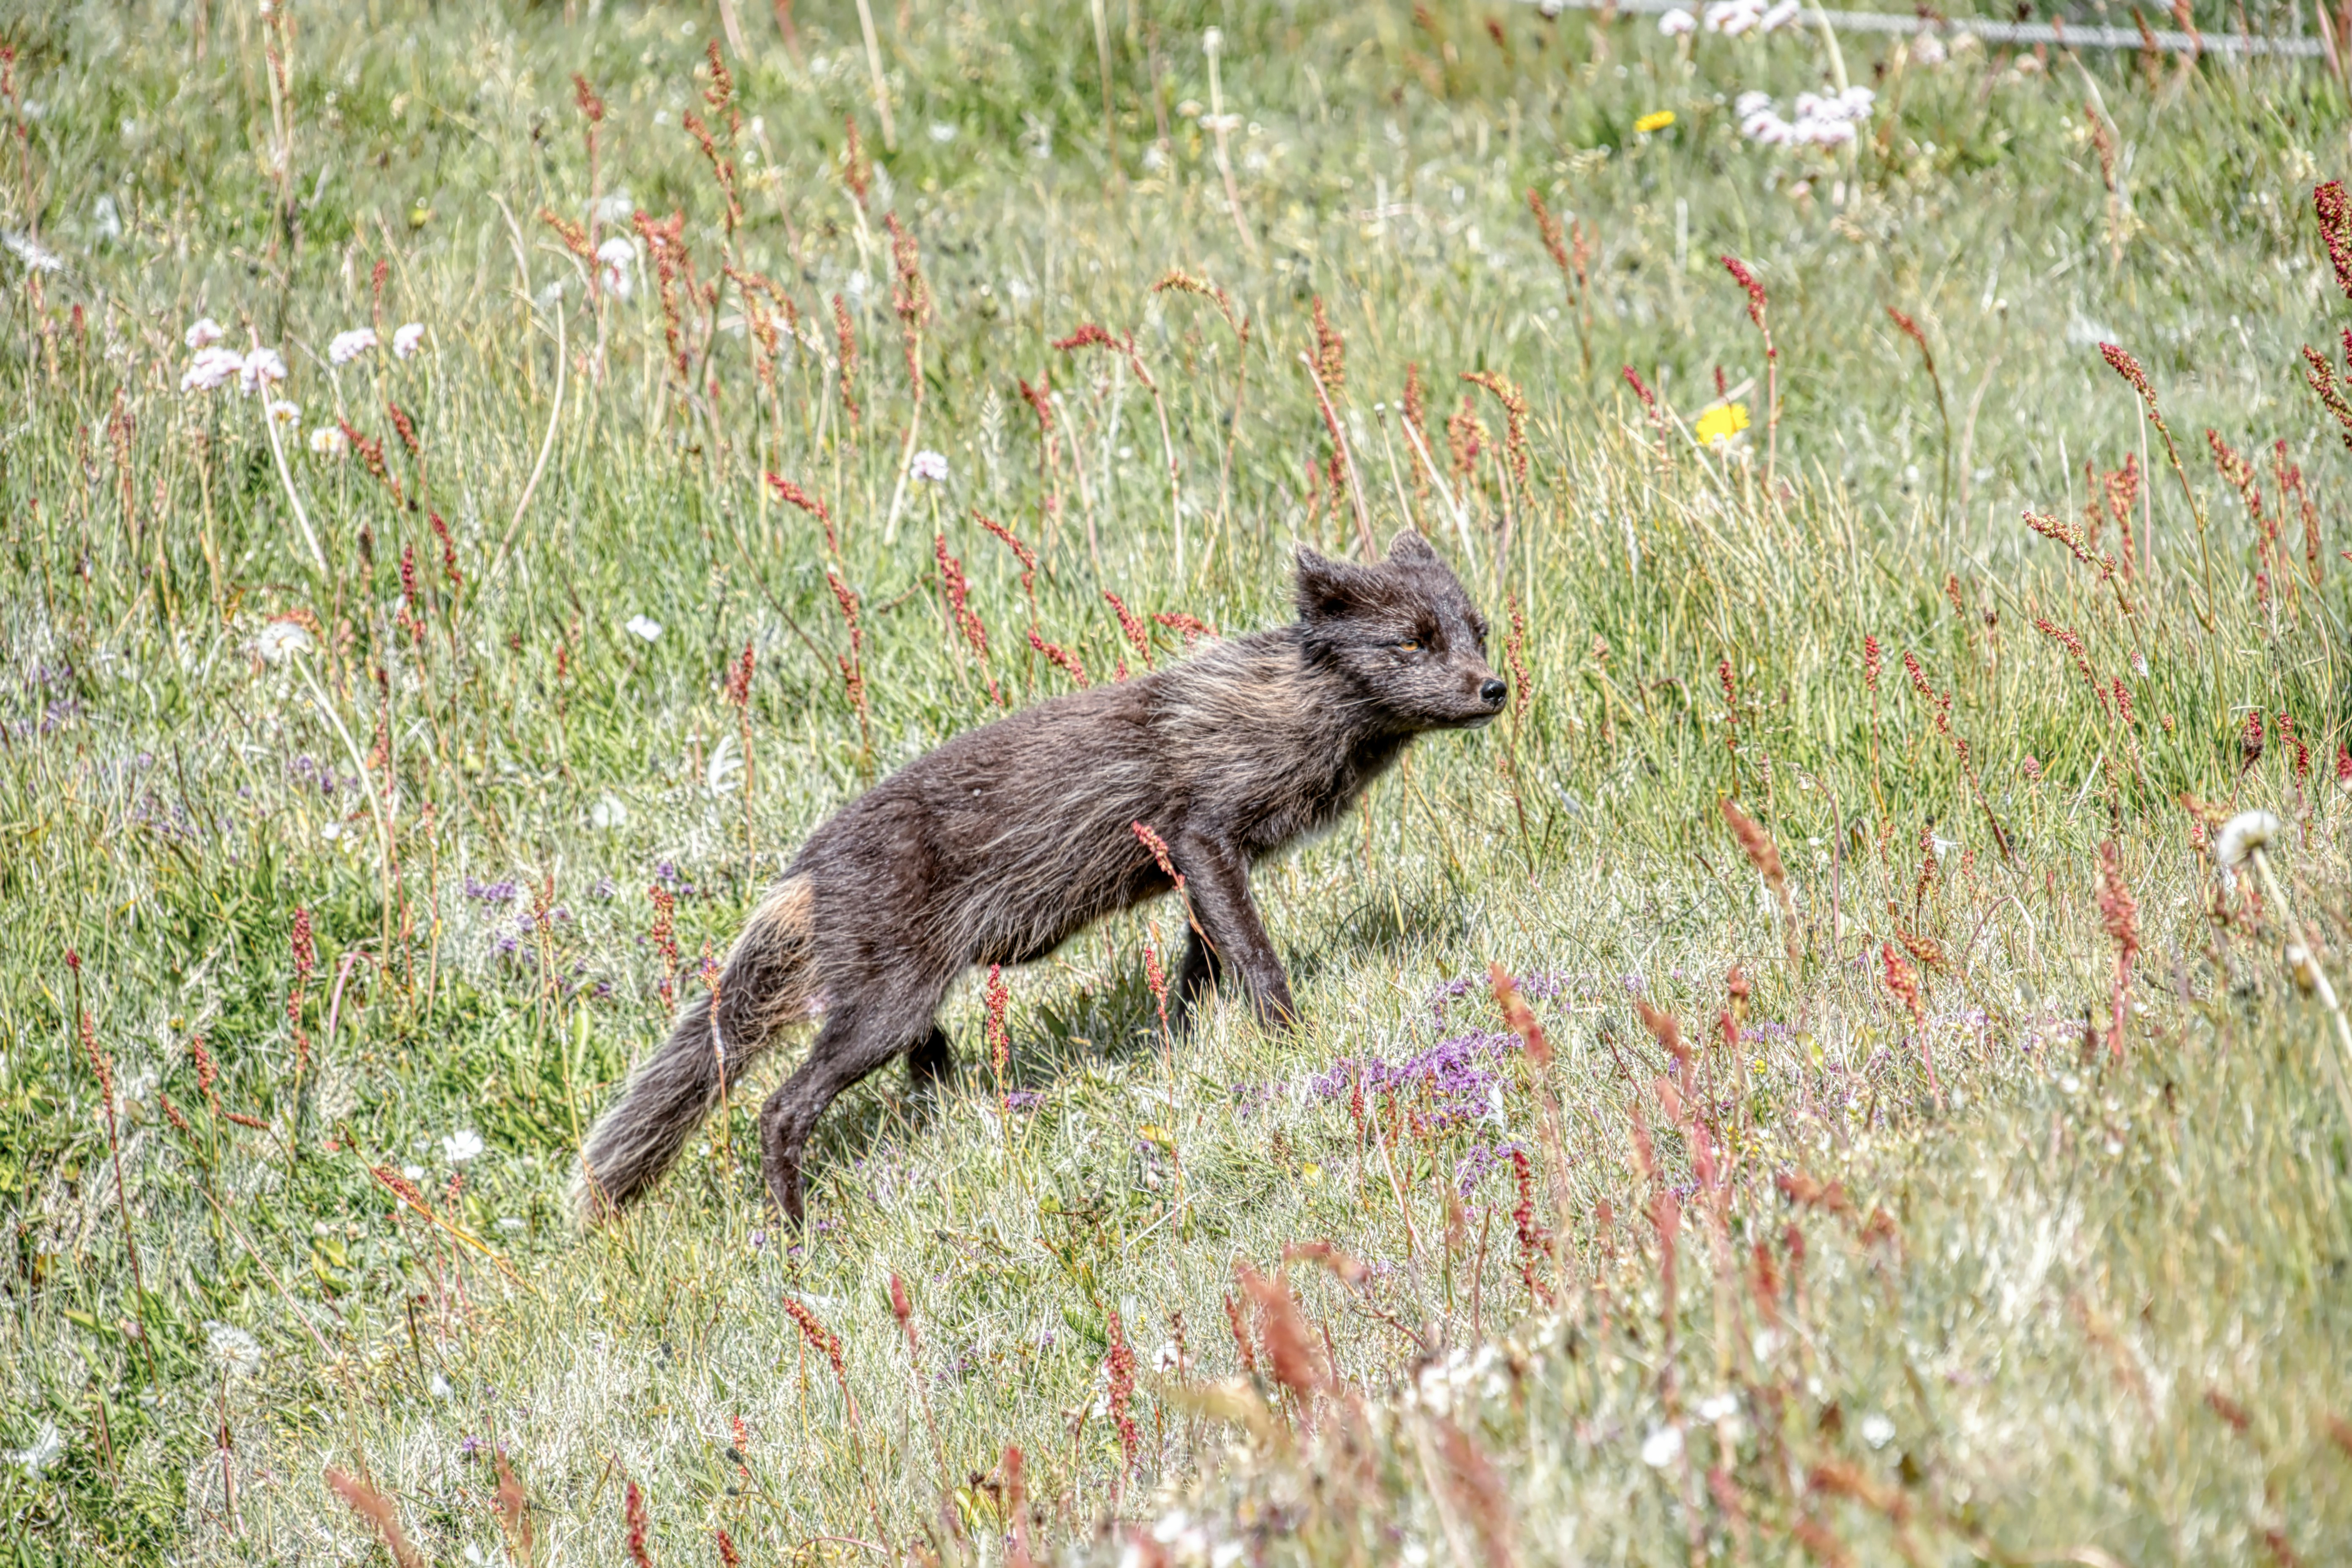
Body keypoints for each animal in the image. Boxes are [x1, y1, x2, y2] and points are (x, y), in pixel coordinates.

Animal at [574, 529, 1507, 1226]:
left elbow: (1197, 975)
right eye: (1411, 641)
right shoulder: (1202, 836)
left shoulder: (1200, 869)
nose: (1496, 689)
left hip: (904, 1001)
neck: (1287, 707)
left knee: (923, 1066)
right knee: (781, 1107)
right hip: (885, 1007)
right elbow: (1256, 961)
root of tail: (802, 867)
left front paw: (1180, 1051)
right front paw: (1294, 1046)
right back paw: (799, 1234)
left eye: (1478, 629)